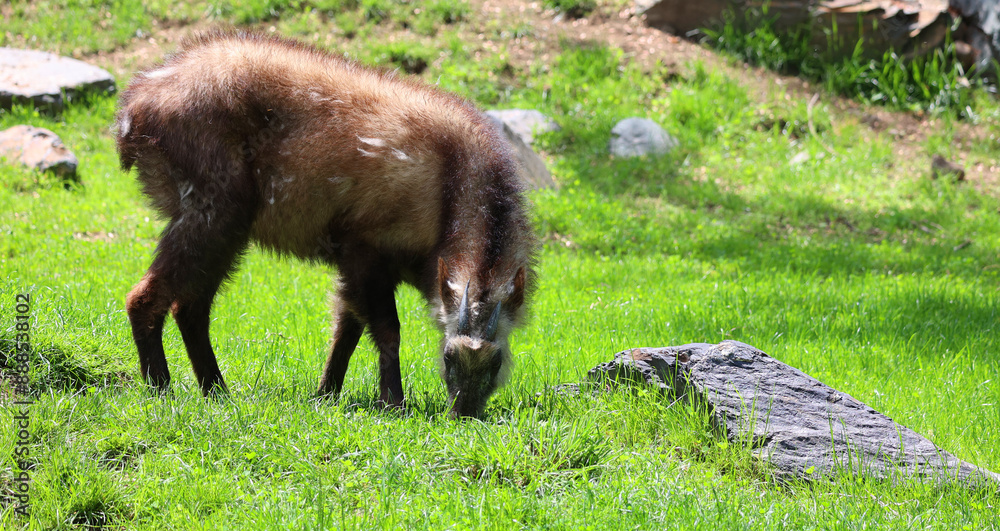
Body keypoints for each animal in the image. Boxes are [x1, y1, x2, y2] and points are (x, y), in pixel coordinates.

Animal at [115, 31, 536, 418]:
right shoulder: (365, 251)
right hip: (213, 213)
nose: (465, 413)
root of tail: (134, 107)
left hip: (226, 232)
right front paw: (393, 402)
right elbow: (387, 330)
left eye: (497, 361)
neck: (452, 189)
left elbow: (346, 331)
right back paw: (162, 389)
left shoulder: (361, 268)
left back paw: (217, 391)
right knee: (144, 298)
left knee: (190, 307)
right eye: (448, 356)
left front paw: (326, 393)